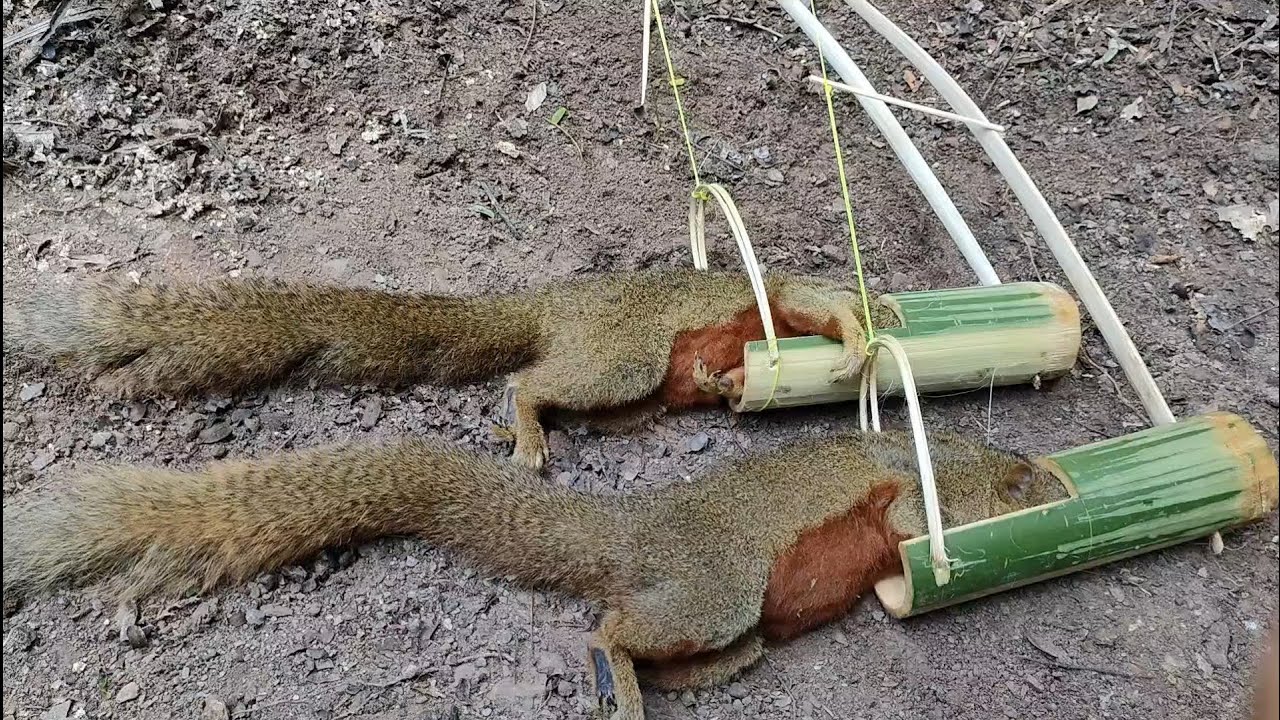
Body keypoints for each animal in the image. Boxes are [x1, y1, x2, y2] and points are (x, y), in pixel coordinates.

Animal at [2, 430, 1066, 720]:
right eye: (1028, 477)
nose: (1061, 481)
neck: (961, 465)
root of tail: (639, 530)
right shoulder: (908, 490)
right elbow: (906, 520)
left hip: (739, 619)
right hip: (719, 590)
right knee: (610, 626)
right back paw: (614, 681)